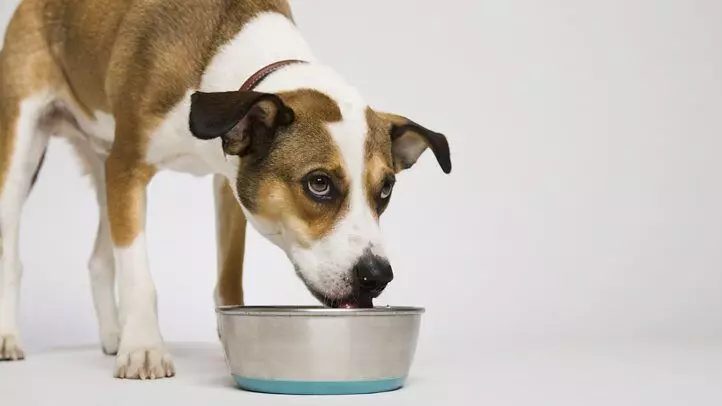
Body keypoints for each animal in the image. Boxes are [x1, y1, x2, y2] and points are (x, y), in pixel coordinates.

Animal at [0, 0, 450, 380]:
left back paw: (114, 335)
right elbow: (138, 275)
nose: (377, 276)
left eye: (386, 189)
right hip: (23, 146)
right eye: (319, 183)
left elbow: (228, 276)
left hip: (100, 160)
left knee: (99, 258)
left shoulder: (227, 184)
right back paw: (10, 336)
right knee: (13, 246)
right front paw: (144, 347)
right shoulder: (127, 167)